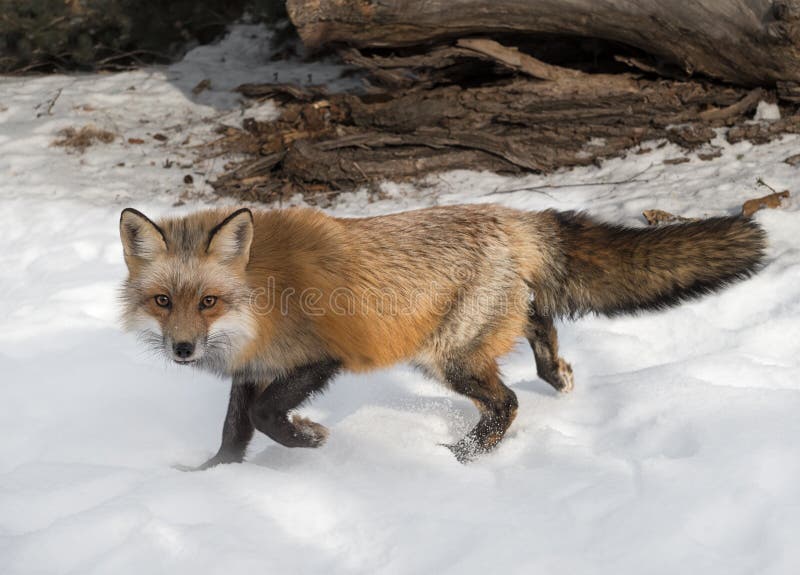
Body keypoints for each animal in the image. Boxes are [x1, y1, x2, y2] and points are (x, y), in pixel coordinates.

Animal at [119, 204, 765, 466]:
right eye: (162, 301)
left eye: (208, 301)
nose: (182, 349)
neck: (263, 296)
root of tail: (512, 215)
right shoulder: (251, 369)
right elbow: (234, 430)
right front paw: (211, 478)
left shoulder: (320, 357)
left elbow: (264, 417)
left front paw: (309, 440)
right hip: (477, 336)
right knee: (539, 320)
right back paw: (556, 373)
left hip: (445, 358)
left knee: (506, 401)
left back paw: (461, 458)